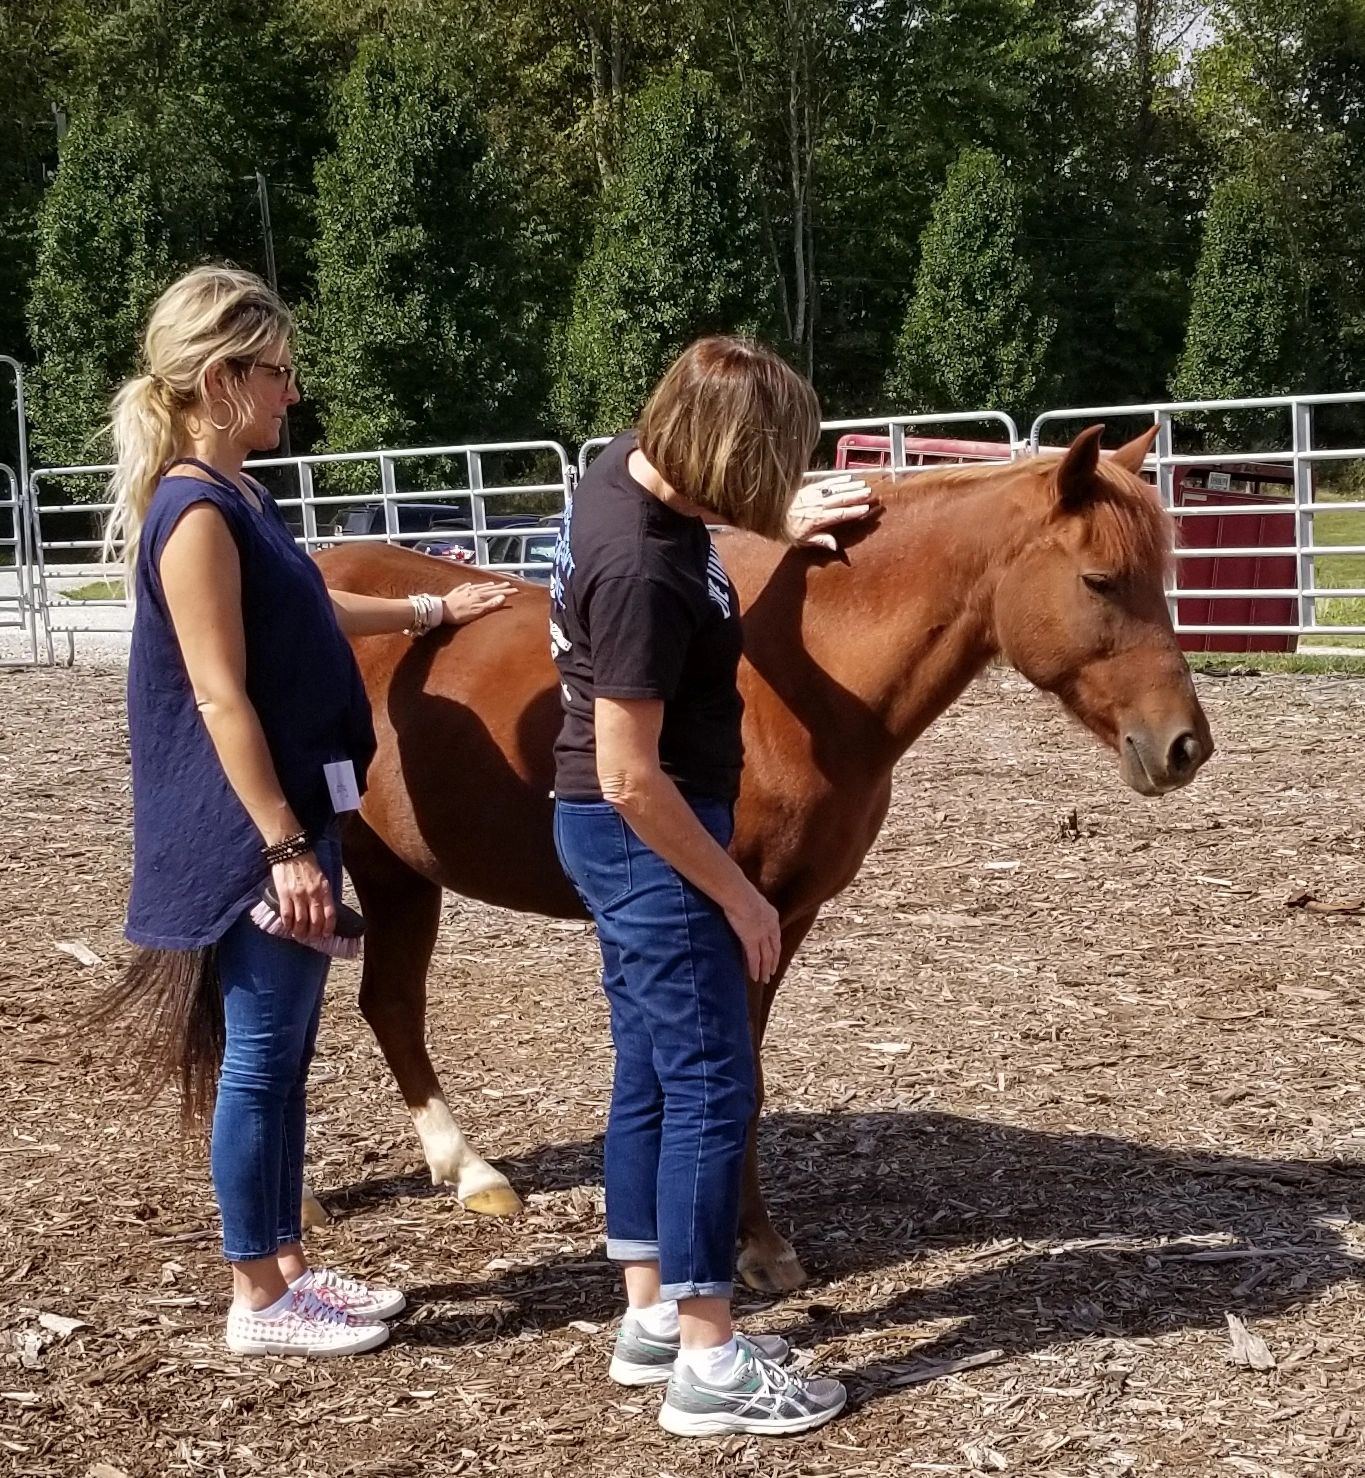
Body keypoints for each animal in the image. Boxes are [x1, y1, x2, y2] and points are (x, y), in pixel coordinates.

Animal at [312, 424, 1213, 1294]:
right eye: (1099, 580)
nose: (1184, 747)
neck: (800, 683)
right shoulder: (728, 917)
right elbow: (730, 1080)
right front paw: (748, 1247)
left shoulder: (784, 918)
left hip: (399, 875)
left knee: (390, 1004)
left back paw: (467, 1171)